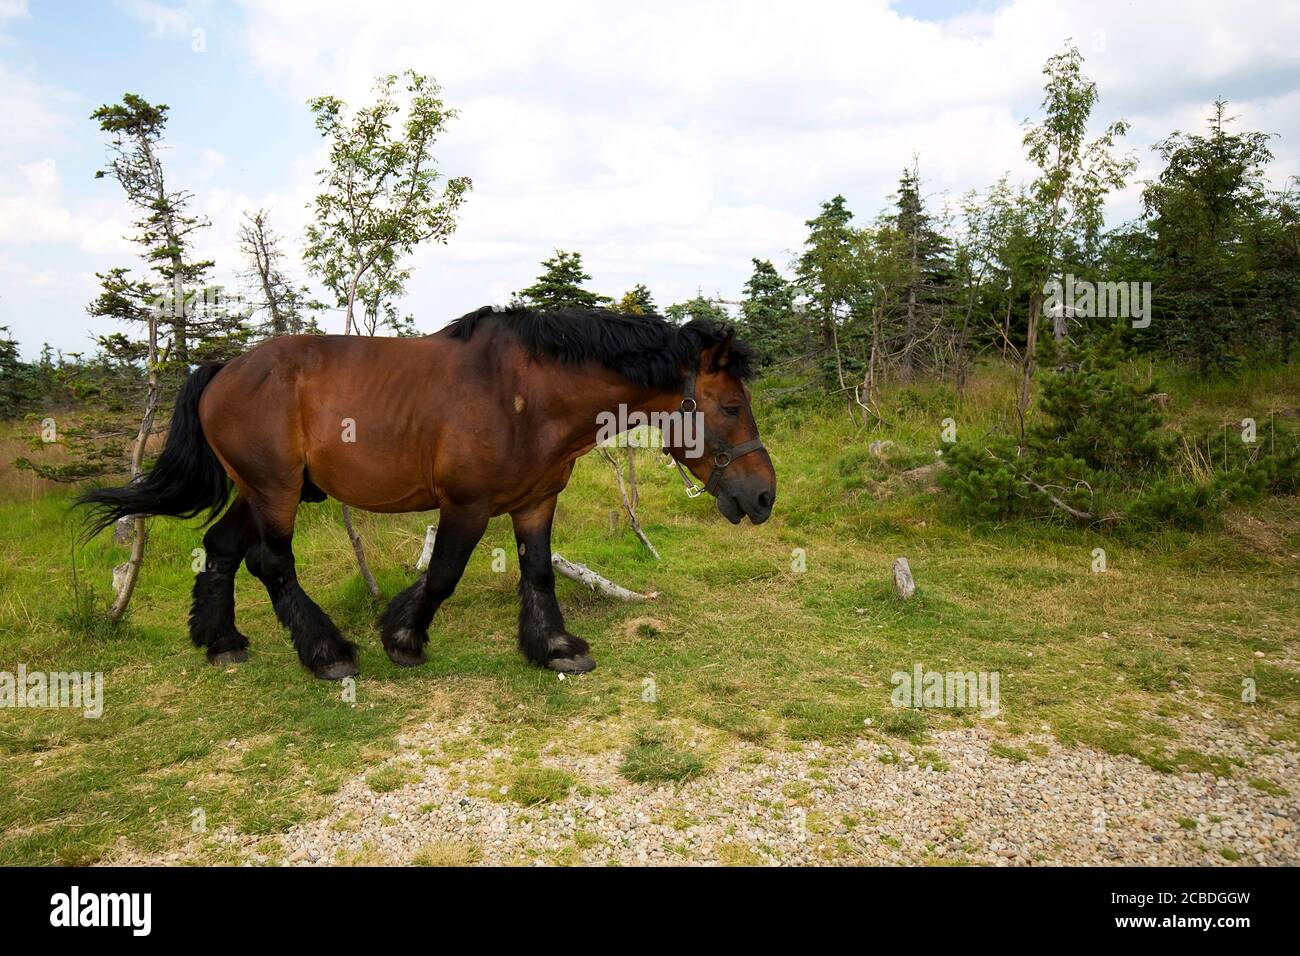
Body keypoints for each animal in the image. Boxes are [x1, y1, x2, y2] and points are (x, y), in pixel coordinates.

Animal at [78, 306, 777, 680]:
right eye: (732, 406)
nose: (764, 496)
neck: (526, 394)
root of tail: (227, 369)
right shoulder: (465, 506)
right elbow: (442, 574)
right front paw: (402, 638)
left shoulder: (536, 502)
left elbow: (539, 572)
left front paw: (553, 647)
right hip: (274, 490)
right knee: (271, 562)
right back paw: (327, 652)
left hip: (261, 490)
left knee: (220, 546)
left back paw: (221, 641)